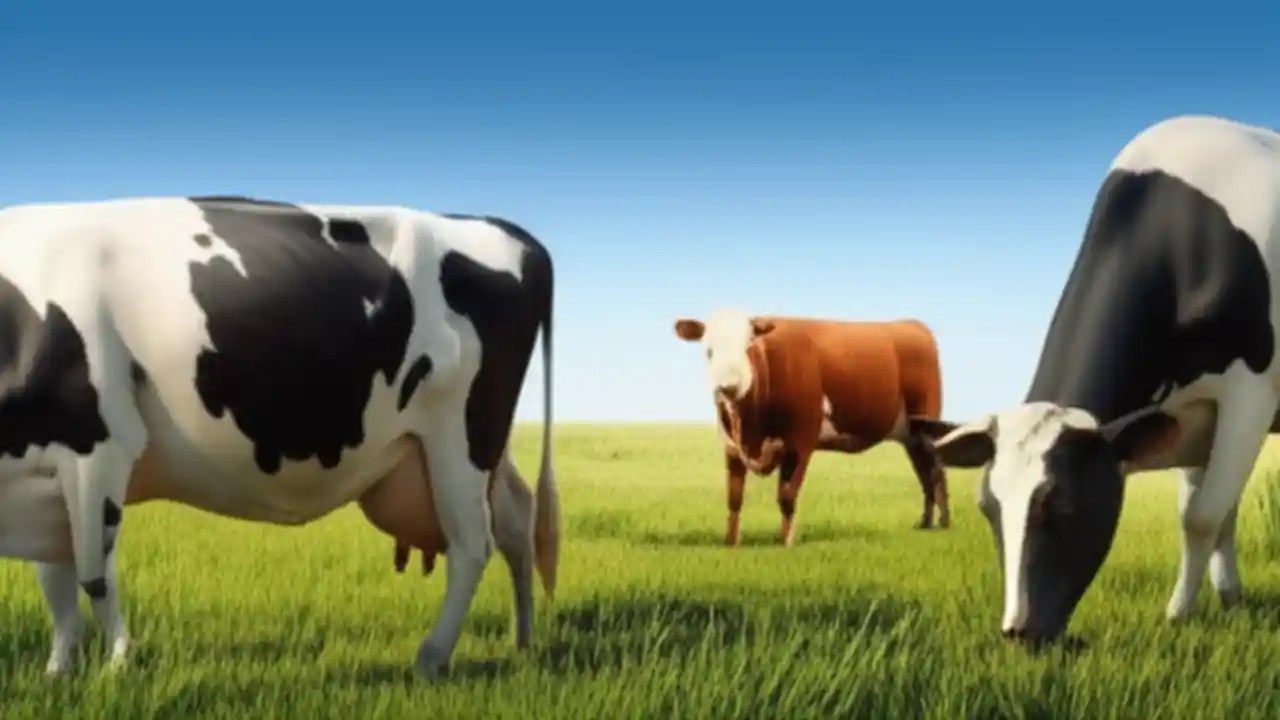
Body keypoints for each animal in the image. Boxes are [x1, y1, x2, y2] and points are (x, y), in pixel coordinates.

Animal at [0, 195, 560, 679]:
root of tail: (503, 229)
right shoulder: (41, 468)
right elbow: (56, 582)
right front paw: (58, 671)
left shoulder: (98, 445)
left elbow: (94, 575)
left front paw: (117, 663)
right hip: (484, 446)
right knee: (515, 518)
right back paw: (523, 640)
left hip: (461, 436)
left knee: (472, 544)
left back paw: (433, 656)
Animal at [673, 309, 949, 545]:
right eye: (709, 350)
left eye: (748, 346)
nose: (729, 385)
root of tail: (912, 325)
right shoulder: (732, 447)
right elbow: (734, 497)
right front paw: (731, 543)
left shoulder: (800, 441)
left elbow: (786, 496)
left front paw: (787, 542)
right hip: (910, 436)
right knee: (924, 473)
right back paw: (926, 523)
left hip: (924, 426)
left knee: (936, 471)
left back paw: (943, 523)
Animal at [912, 114, 1280, 646]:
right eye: (987, 507)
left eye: (1063, 505)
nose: (1017, 631)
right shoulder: (1195, 413)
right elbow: (1216, 510)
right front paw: (1230, 597)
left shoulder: (1249, 395)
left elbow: (1202, 515)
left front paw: (1179, 613)